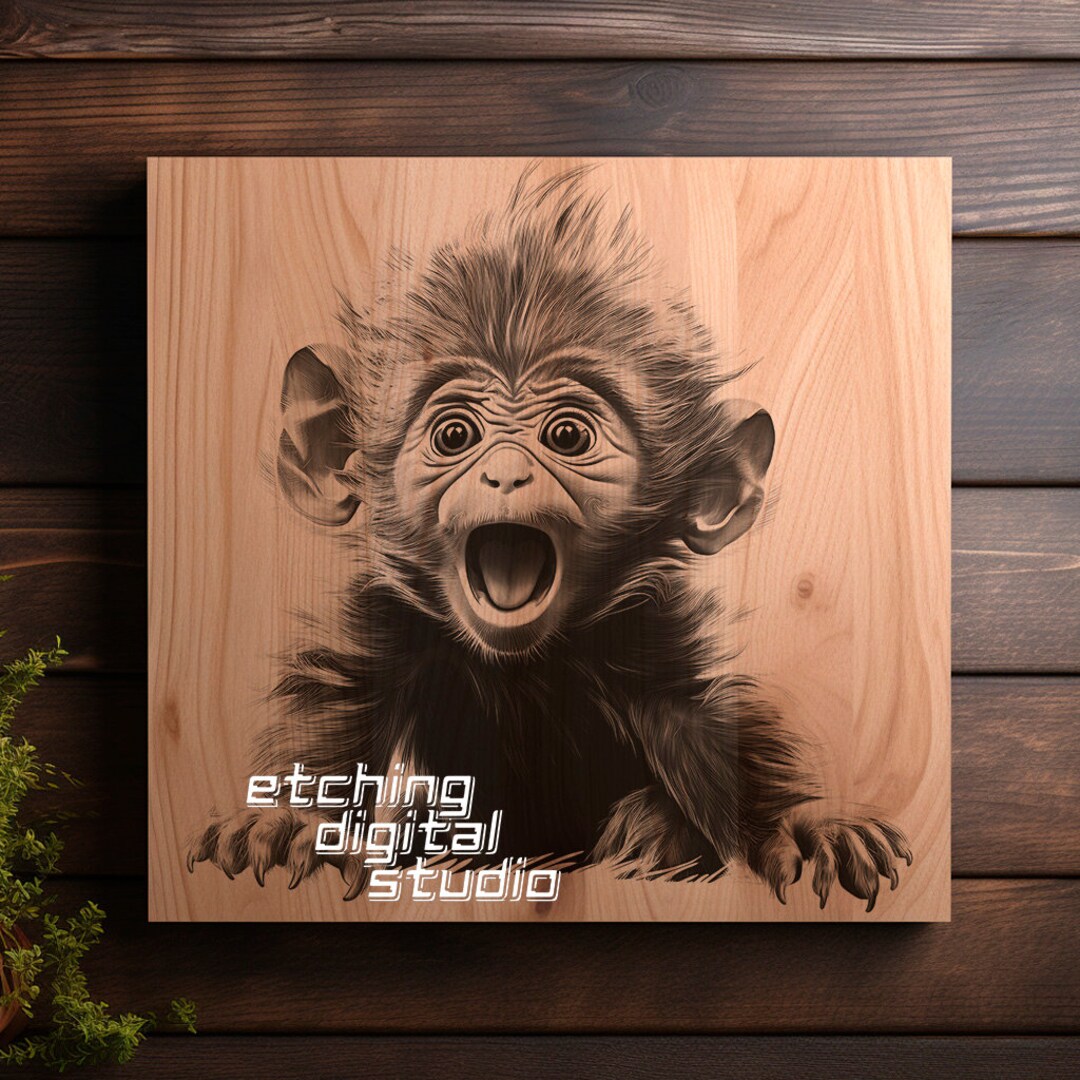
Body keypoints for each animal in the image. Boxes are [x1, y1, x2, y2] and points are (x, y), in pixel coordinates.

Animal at [188, 166, 912, 912]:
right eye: (455, 435)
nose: (506, 474)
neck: (520, 674)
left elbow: (718, 728)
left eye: (567, 436)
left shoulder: (660, 658)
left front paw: (804, 822)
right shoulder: (383, 649)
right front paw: (288, 820)